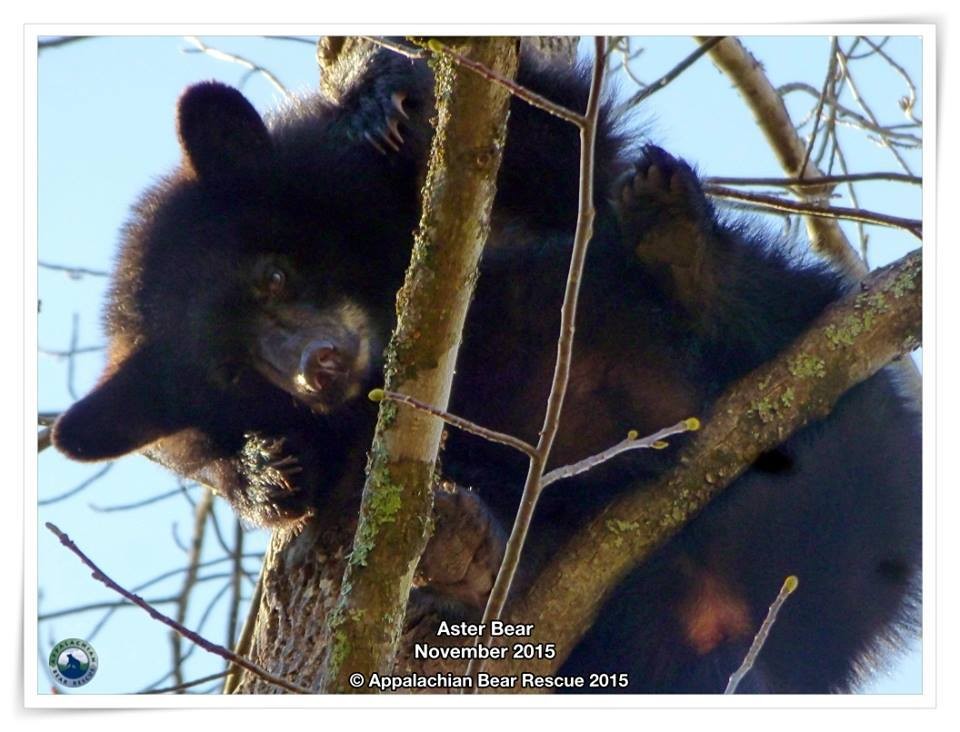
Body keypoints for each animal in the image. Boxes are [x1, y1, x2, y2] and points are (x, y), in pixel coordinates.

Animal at [51, 44, 921, 693]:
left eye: (273, 275)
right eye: (232, 374)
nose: (316, 367)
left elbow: (564, 148)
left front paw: (386, 96)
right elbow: (295, 482)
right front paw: (266, 469)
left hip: (853, 421)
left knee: (735, 297)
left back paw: (681, 253)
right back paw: (473, 561)